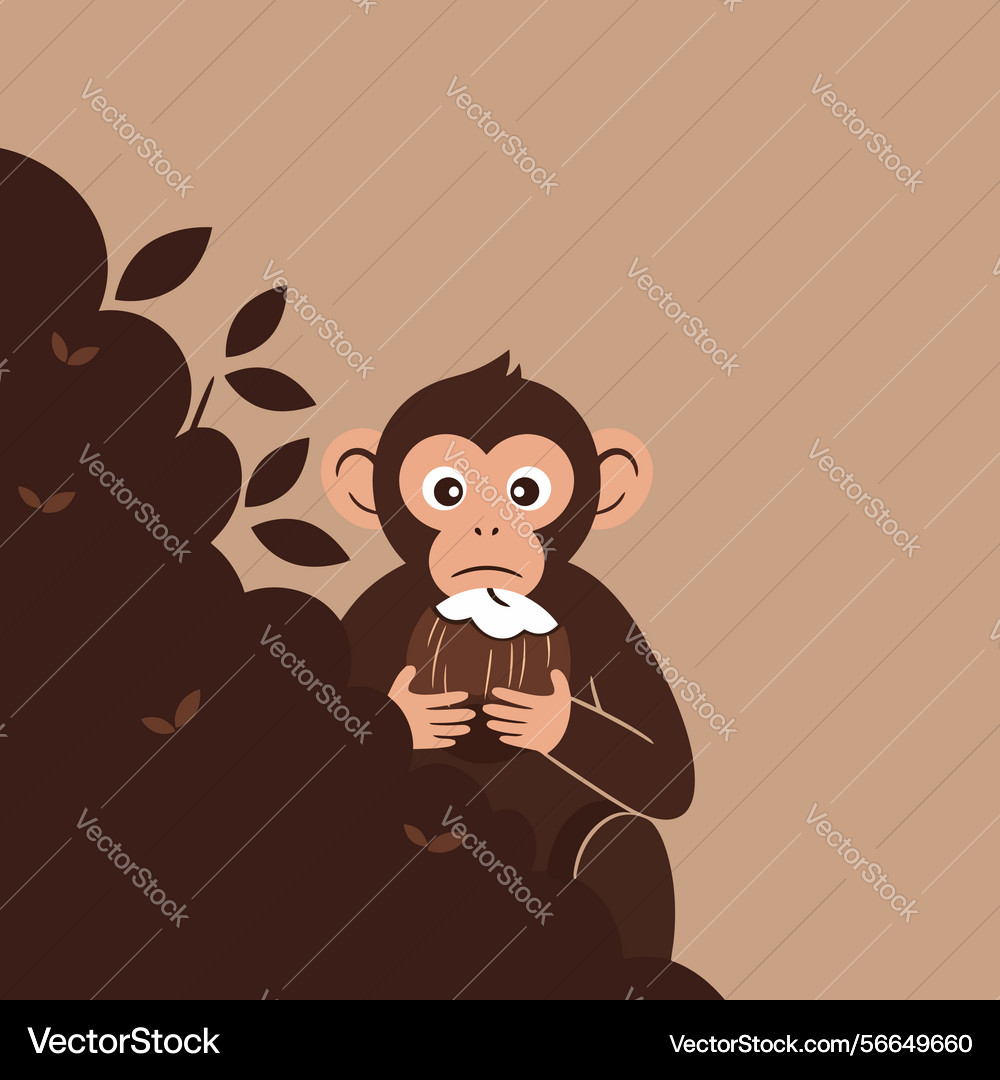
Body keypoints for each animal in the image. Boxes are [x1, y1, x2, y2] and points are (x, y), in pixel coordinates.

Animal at [323, 353, 695, 960]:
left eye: (526, 490)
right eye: (446, 490)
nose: (488, 526)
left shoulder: (608, 612)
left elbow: (669, 770)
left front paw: (544, 718)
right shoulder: (371, 609)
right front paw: (418, 716)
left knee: (621, 829)